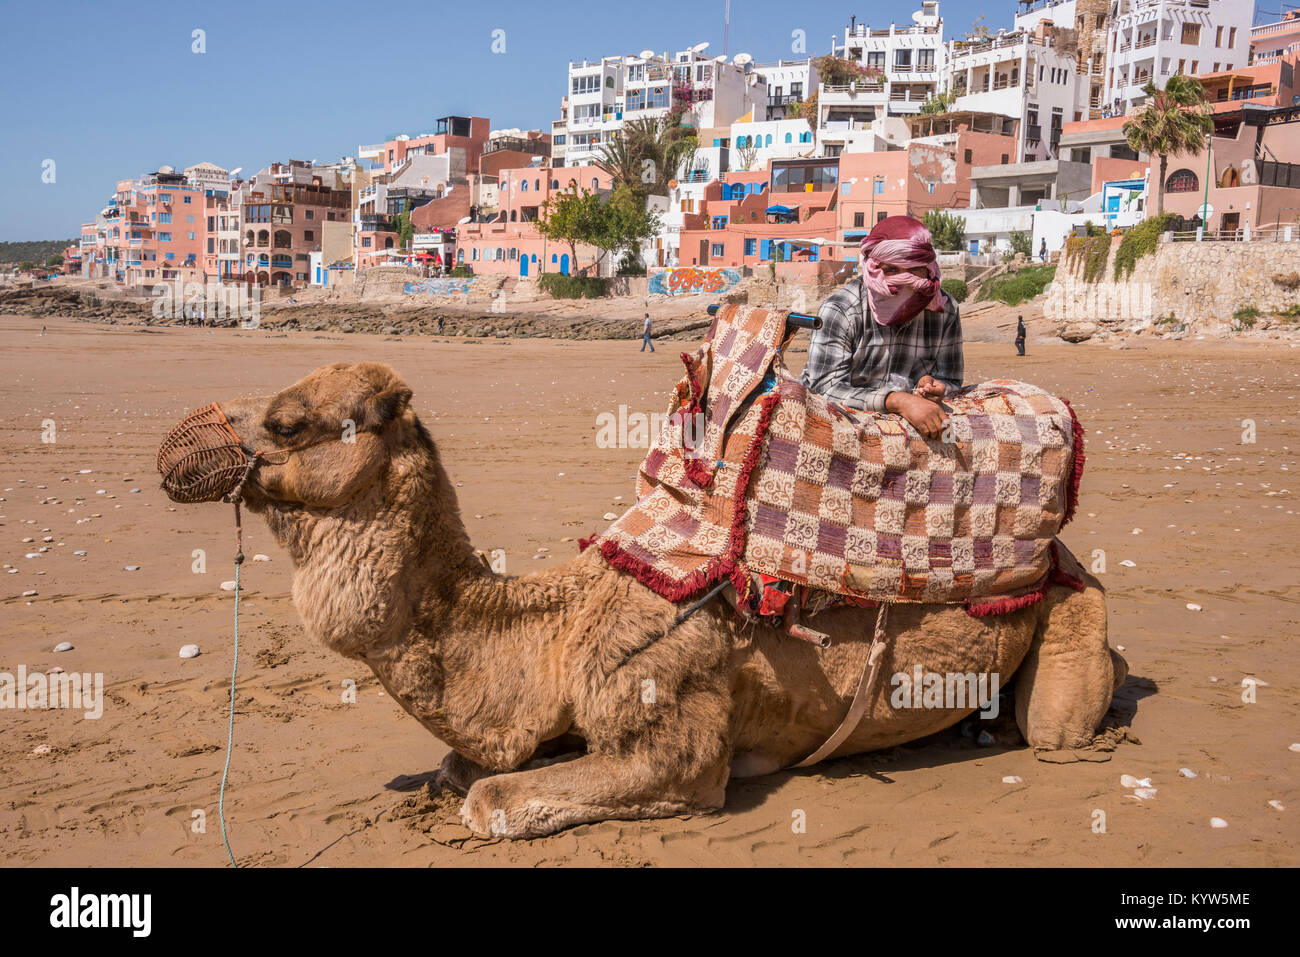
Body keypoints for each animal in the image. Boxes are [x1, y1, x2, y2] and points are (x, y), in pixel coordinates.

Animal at [161, 362, 1127, 839]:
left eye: (288, 420)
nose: (178, 444)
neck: (548, 631)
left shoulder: (672, 714)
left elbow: (492, 798)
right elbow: (460, 767)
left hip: (1070, 606)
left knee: (1058, 716)